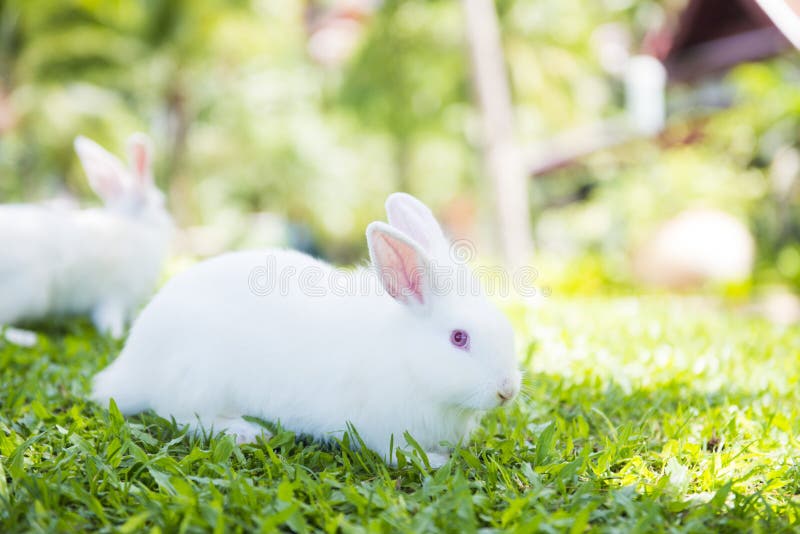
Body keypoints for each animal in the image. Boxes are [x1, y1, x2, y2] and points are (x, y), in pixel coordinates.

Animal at [0, 133, 173, 339]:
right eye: (162, 204)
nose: (170, 222)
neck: (135, 224)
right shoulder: (114, 297)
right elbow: (109, 322)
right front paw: (118, 336)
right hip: (27, 294)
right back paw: (27, 338)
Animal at [91, 193, 521, 467]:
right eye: (459, 338)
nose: (507, 390)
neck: (410, 362)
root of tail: (131, 366)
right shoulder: (385, 430)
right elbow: (400, 454)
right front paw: (437, 462)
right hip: (198, 380)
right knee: (179, 415)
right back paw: (245, 432)